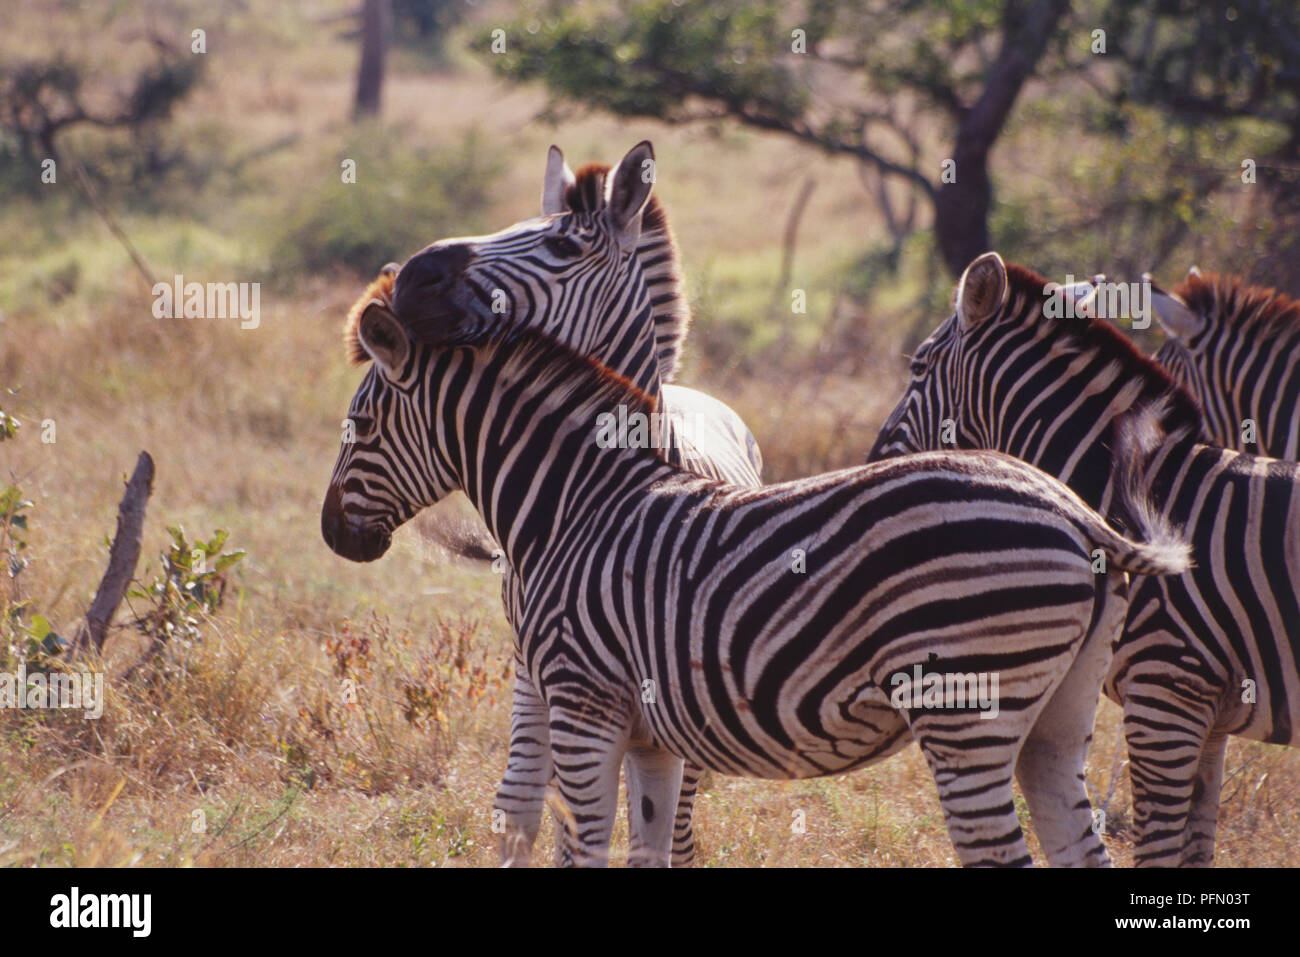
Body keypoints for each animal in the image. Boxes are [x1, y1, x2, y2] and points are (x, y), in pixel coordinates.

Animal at [869, 251, 1300, 867]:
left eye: (918, 369)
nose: (871, 460)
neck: (1124, 495)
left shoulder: (1165, 696)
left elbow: (1159, 850)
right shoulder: (1209, 717)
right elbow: (1196, 848)